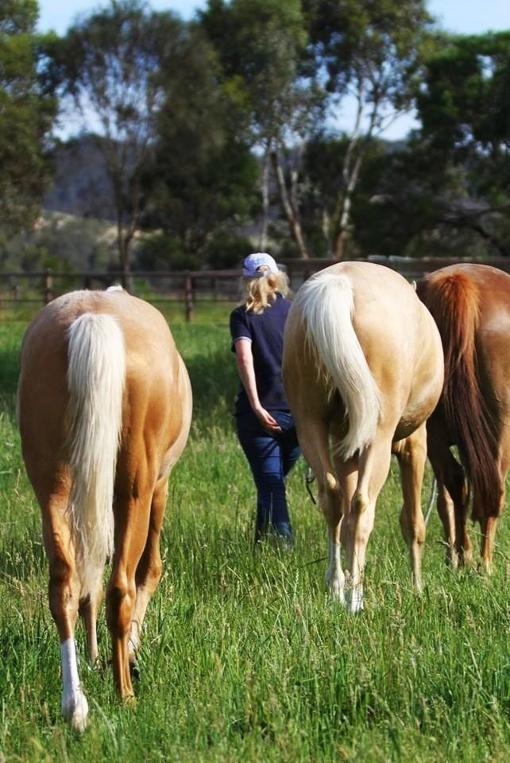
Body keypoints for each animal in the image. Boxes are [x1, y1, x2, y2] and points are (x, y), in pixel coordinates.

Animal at [17, 287, 192, 731]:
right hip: (136, 488)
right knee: (121, 587)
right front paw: (128, 652)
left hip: (54, 487)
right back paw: (124, 693)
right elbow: (148, 569)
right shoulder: (158, 488)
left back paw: (74, 704)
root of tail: (94, 317)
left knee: (64, 584)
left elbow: (87, 580)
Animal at [282, 261, 444, 611]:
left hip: (310, 424)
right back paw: (355, 599)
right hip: (377, 440)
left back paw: (336, 588)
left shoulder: (344, 450)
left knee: (333, 500)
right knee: (361, 506)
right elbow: (413, 522)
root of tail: (340, 285)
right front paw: (417, 587)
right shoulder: (415, 446)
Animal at [416, 263, 510, 572]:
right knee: (491, 488)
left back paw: (465, 558)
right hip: (501, 431)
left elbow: (446, 497)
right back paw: (483, 564)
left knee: (458, 482)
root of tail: (460, 280)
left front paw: (454, 555)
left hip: (434, 433)